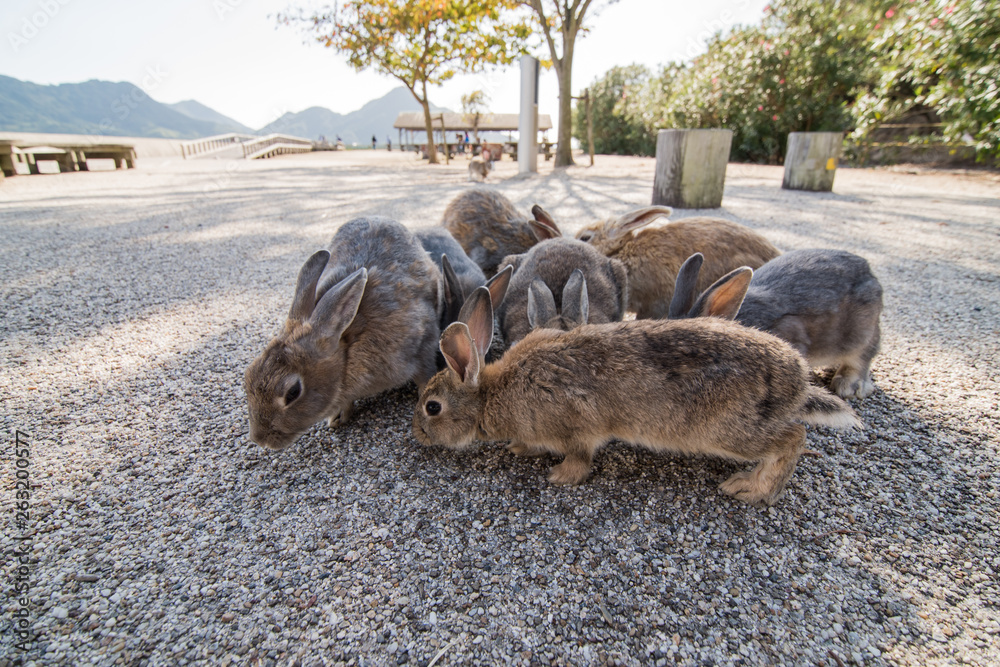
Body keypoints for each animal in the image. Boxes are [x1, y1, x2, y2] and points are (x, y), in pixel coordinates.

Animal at [245, 217, 442, 451]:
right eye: (247, 376)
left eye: (293, 392)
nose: (260, 439)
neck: (346, 352)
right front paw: (337, 417)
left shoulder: (423, 346)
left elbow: (425, 378)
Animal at [412, 287, 860, 505]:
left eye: (432, 408)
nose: (416, 436)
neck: (491, 394)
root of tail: (797, 380)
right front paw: (521, 449)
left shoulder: (576, 426)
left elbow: (581, 457)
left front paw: (559, 476)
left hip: (728, 429)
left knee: (793, 438)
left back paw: (752, 489)